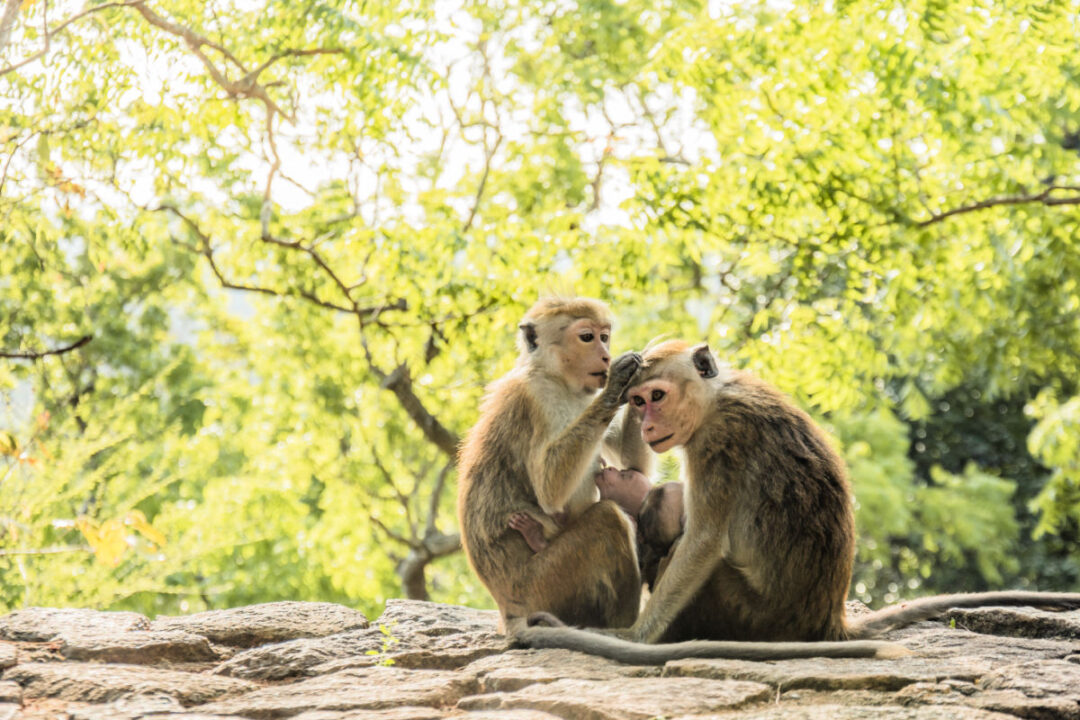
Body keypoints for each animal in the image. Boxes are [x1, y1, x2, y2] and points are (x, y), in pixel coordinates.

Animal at [457, 297, 652, 635]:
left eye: (605, 336)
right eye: (587, 337)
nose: (605, 355)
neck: (557, 378)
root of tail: (507, 612)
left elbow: (633, 466)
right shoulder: (537, 400)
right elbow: (550, 490)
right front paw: (617, 383)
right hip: (542, 586)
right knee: (608, 518)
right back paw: (623, 625)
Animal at [517, 340, 1080, 662]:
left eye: (655, 396)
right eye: (637, 401)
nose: (649, 424)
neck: (717, 398)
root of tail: (827, 621)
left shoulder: (721, 441)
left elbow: (701, 542)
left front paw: (633, 637)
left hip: (750, 615)